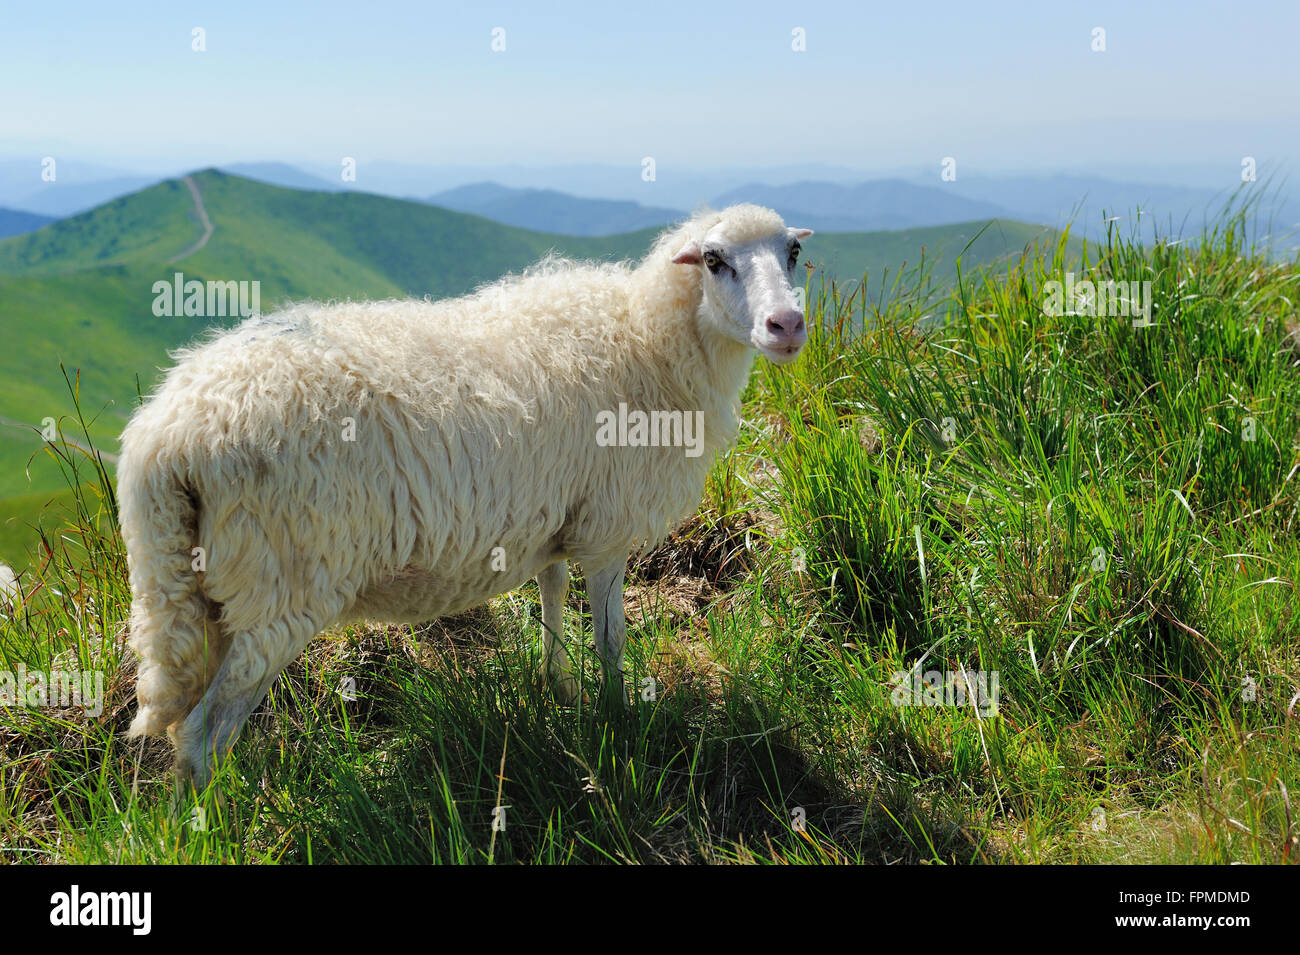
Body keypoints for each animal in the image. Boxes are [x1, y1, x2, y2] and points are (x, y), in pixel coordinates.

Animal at [118, 203, 813, 787]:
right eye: (715, 260)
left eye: (793, 253)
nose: (787, 324)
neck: (649, 338)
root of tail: (166, 438)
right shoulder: (608, 529)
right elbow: (611, 640)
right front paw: (619, 723)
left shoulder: (559, 521)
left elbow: (552, 600)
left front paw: (559, 690)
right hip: (280, 586)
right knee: (204, 734)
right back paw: (210, 825)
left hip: (202, 587)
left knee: (189, 719)